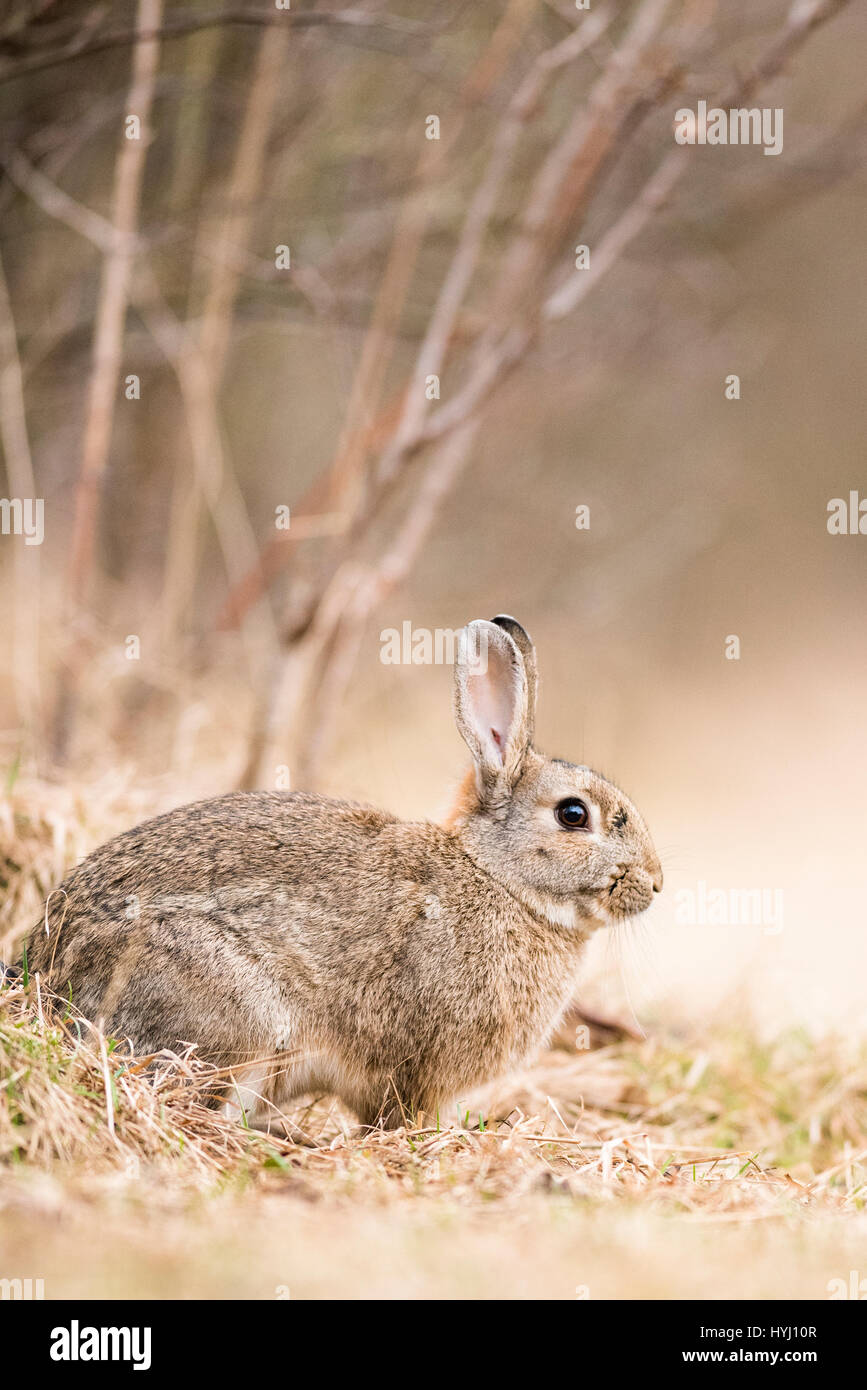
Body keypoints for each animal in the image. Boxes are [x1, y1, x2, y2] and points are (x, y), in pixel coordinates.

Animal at [24, 615, 662, 1130]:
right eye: (574, 814)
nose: (655, 883)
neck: (497, 877)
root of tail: (52, 977)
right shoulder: (418, 1067)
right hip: (242, 1023)